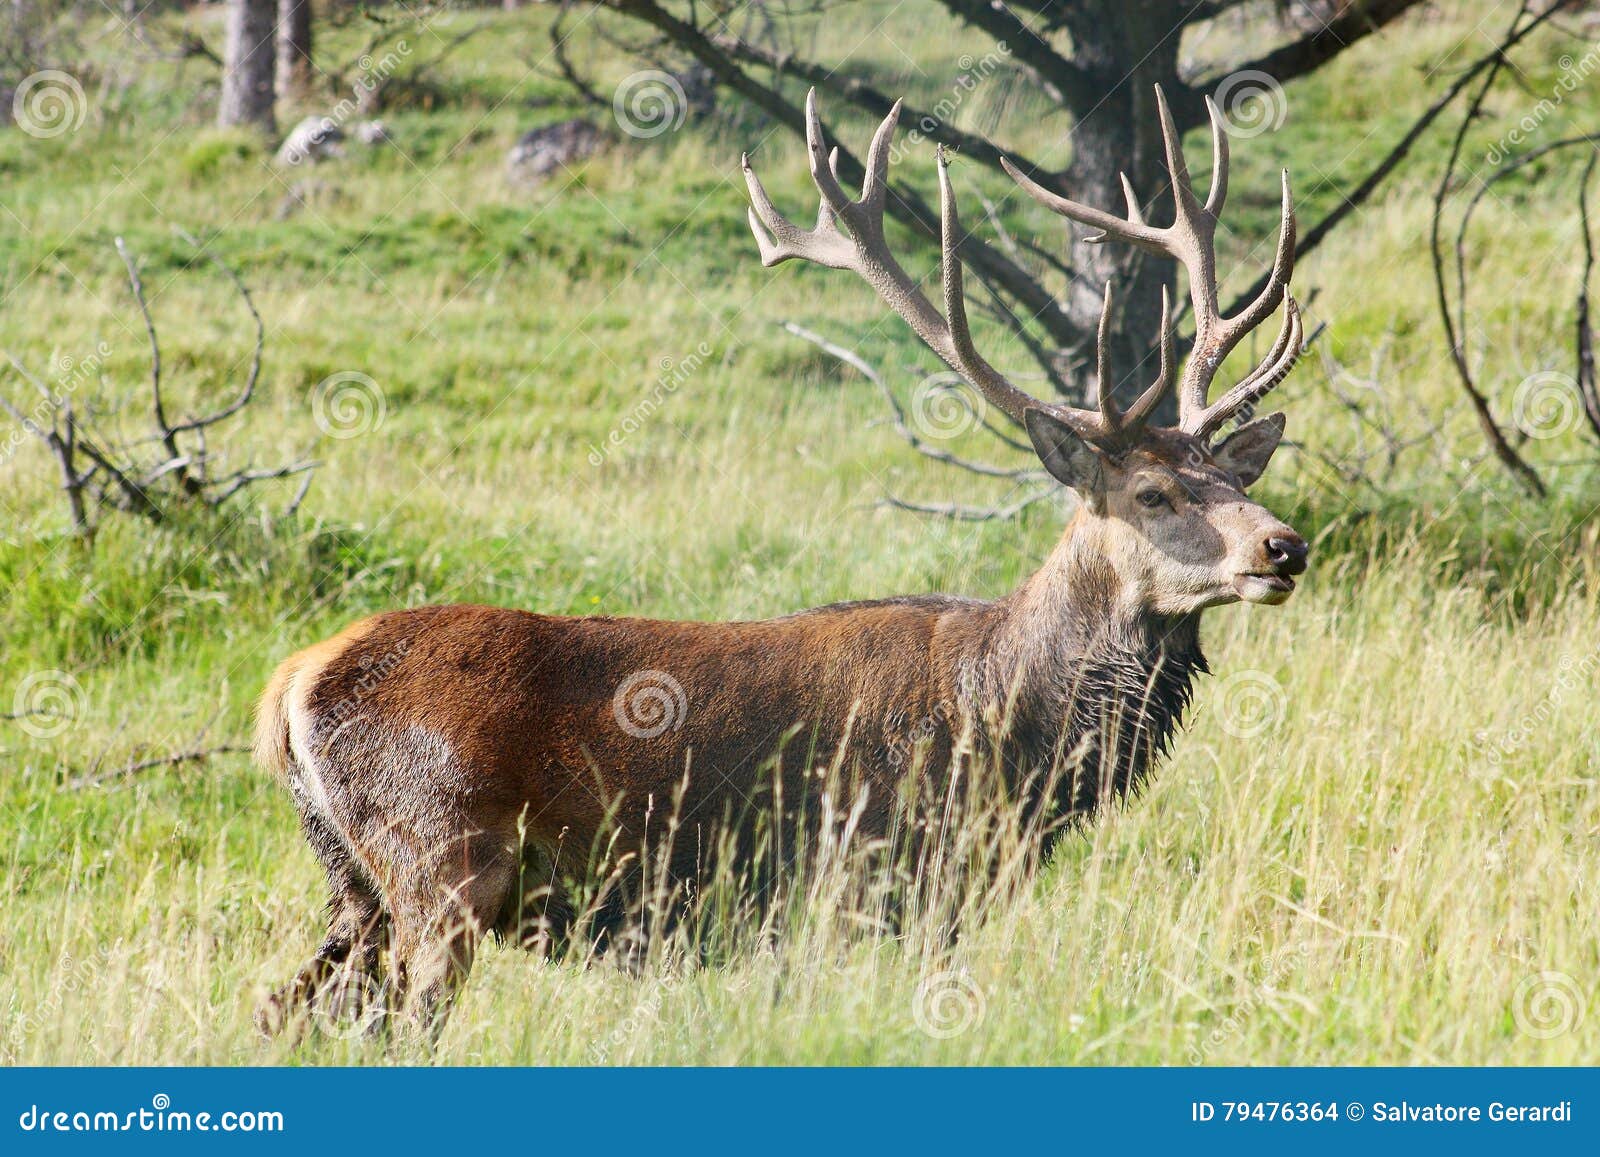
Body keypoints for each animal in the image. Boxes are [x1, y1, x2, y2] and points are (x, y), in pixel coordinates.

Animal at [254, 85, 1308, 1038]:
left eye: (1231, 471)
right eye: (1153, 494)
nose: (1283, 544)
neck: (1011, 725)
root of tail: (292, 685)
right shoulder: (864, 877)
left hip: (355, 882)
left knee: (287, 1004)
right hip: (440, 853)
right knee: (400, 1017)